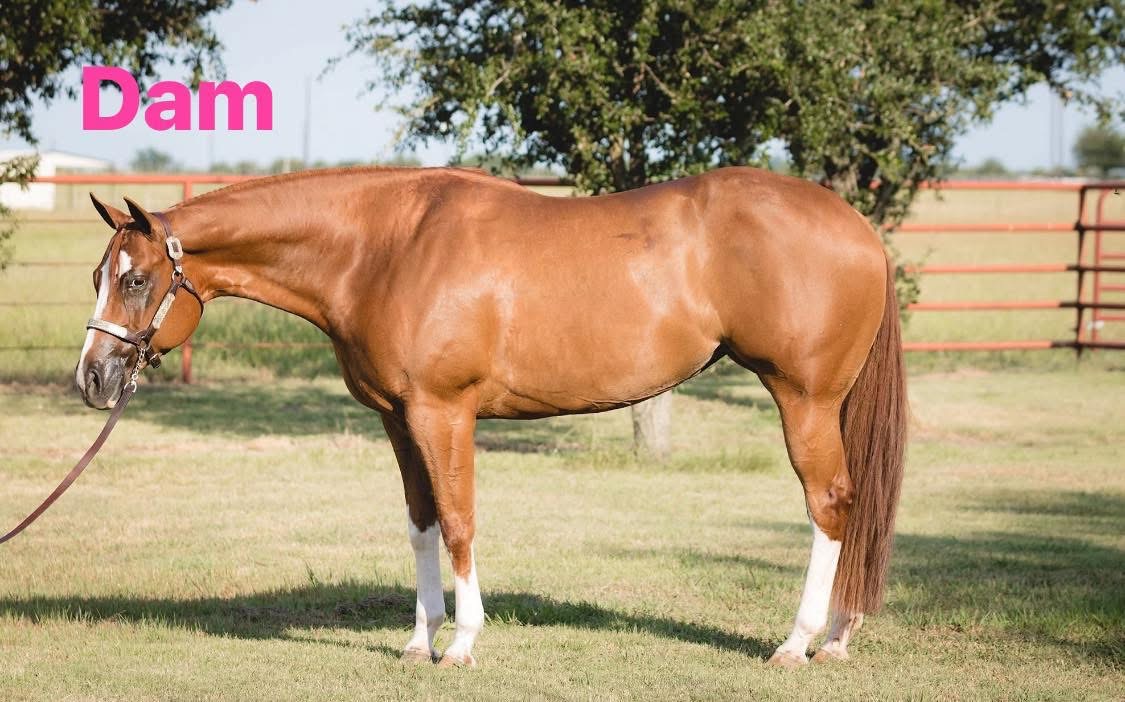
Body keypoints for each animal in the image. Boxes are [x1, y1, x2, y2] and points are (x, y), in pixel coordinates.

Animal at [76, 166, 906, 668]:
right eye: (97, 275)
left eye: (137, 279)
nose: (92, 375)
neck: (384, 247)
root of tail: (858, 228)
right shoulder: (398, 418)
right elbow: (420, 525)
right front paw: (418, 641)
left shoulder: (444, 413)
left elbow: (459, 520)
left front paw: (463, 643)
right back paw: (837, 638)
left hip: (803, 400)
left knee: (830, 504)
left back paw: (798, 642)